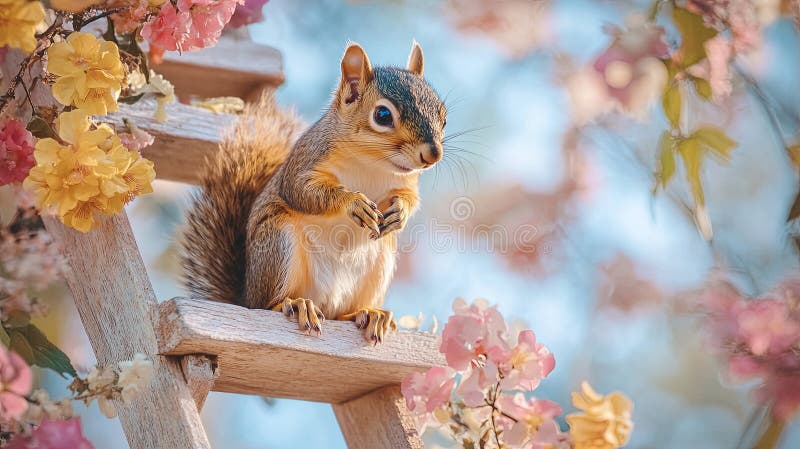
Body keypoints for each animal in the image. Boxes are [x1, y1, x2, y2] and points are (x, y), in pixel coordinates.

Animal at [182, 42, 446, 343]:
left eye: (443, 116)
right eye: (382, 115)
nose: (433, 154)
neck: (373, 163)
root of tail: (245, 296)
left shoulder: (406, 182)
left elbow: (411, 199)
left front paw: (400, 212)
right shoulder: (307, 160)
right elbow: (300, 191)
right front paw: (352, 202)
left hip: (380, 259)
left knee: (342, 313)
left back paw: (369, 314)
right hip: (278, 242)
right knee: (269, 304)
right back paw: (297, 305)